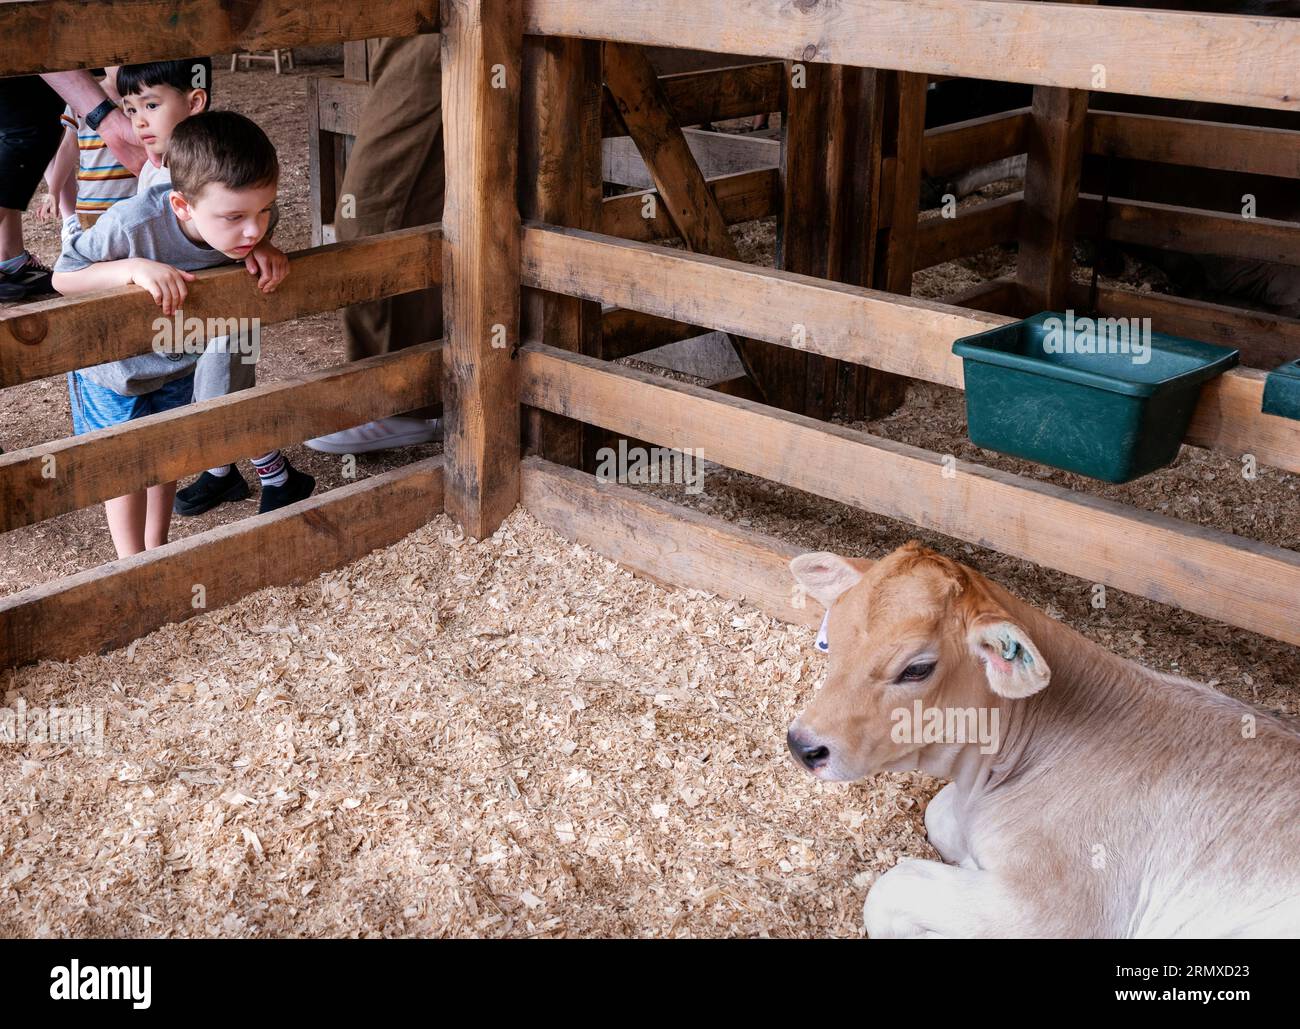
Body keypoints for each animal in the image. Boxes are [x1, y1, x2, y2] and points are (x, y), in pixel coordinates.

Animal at [785, 542, 1300, 938]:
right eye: (831, 640)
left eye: (917, 669)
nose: (801, 744)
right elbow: (938, 815)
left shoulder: (1057, 911)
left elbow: (892, 887)